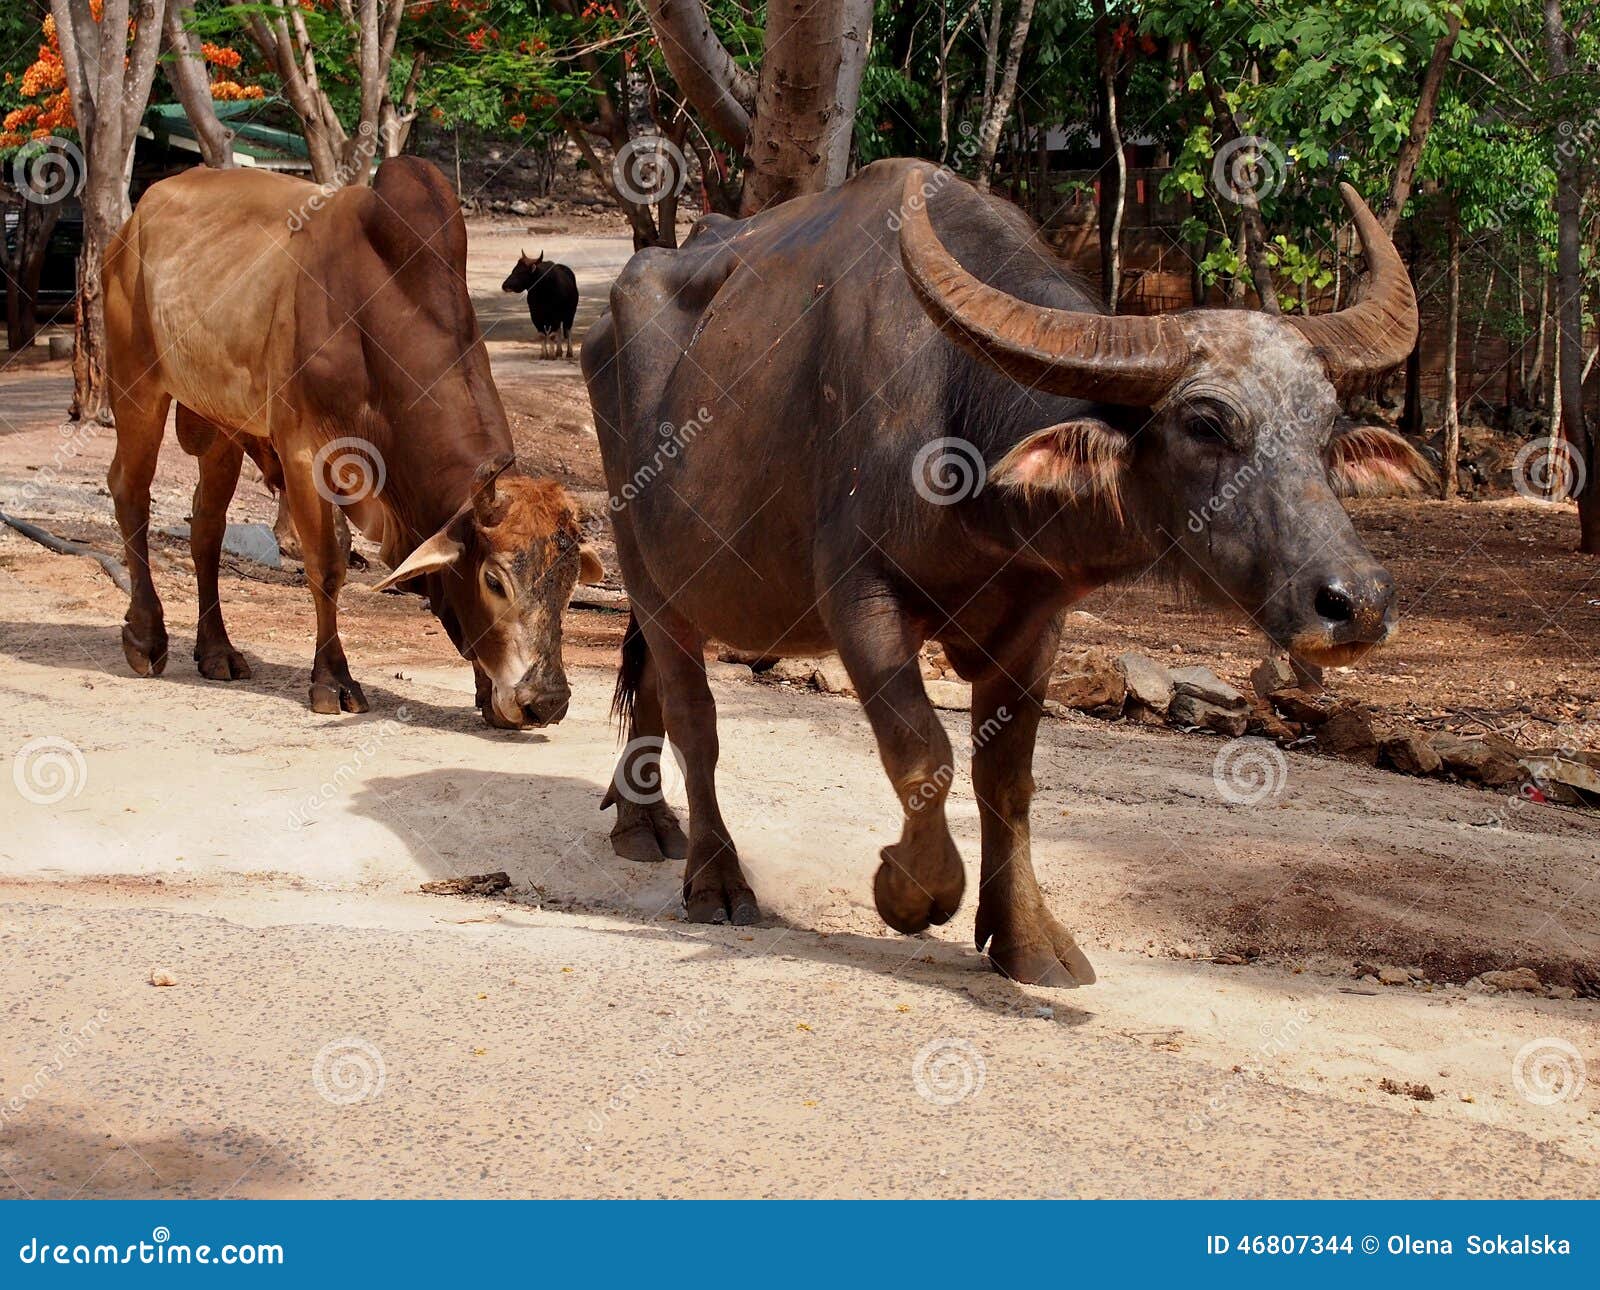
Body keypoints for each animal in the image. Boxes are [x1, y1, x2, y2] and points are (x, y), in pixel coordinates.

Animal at [582, 157, 1428, 986]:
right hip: (645, 565)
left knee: (655, 682)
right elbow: (922, 751)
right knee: (696, 718)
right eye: (1206, 424)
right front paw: (913, 891)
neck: (965, 442)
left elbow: (1007, 778)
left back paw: (644, 821)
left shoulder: (1035, 622)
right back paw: (716, 880)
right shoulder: (860, 597)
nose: (1355, 602)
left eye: (1323, 426)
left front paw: (1026, 938)